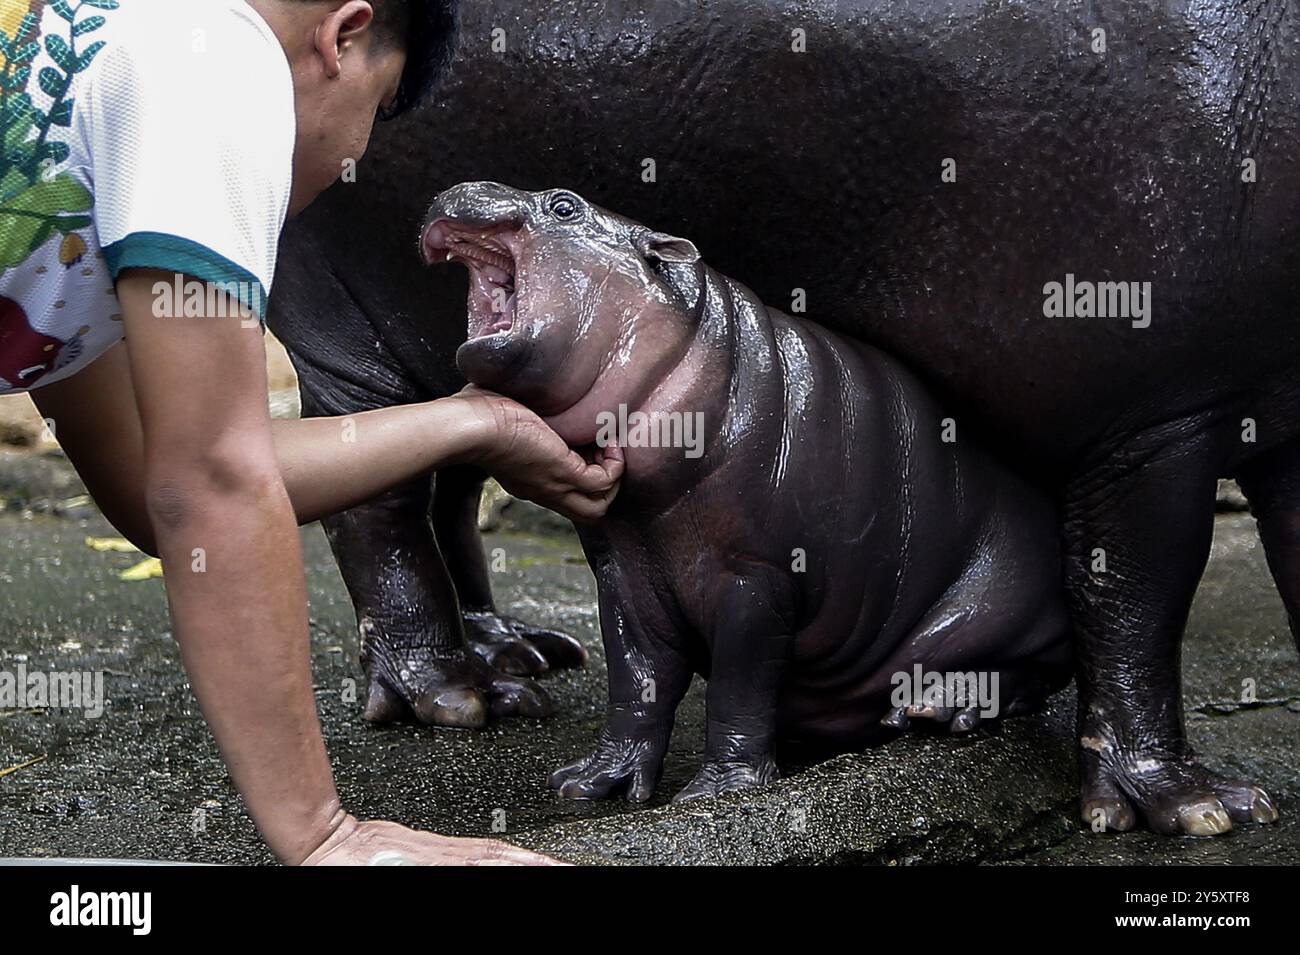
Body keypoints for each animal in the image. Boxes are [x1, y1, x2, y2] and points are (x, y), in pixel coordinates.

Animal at [419, 181, 1074, 799]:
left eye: (564, 205)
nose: (459, 187)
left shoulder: (757, 576)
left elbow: (739, 682)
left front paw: (719, 791)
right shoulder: (622, 572)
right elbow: (636, 678)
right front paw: (590, 782)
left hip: (1007, 610)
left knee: (1032, 674)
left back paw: (941, 708)